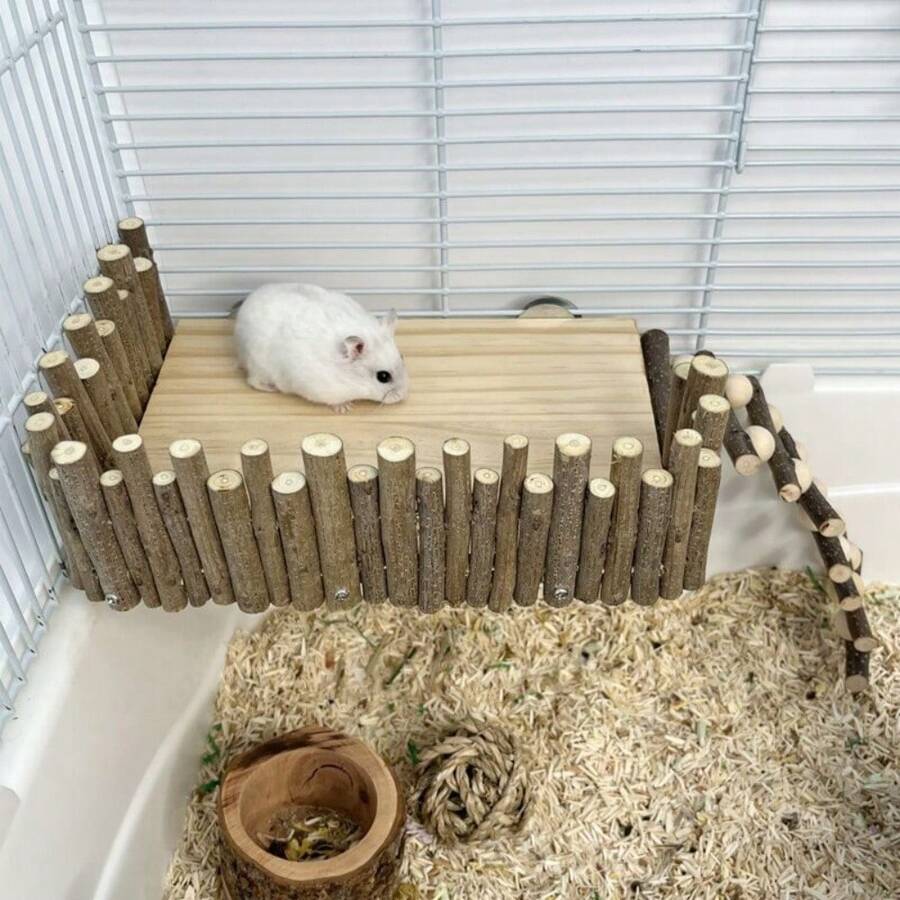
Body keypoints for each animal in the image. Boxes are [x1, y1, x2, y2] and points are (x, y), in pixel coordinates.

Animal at [234, 283, 409, 413]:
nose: (402, 395)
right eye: (383, 377)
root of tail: (246, 302)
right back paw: (271, 388)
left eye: (402, 358)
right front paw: (345, 408)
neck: (346, 376)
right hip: (258, 366)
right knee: (253, 381)